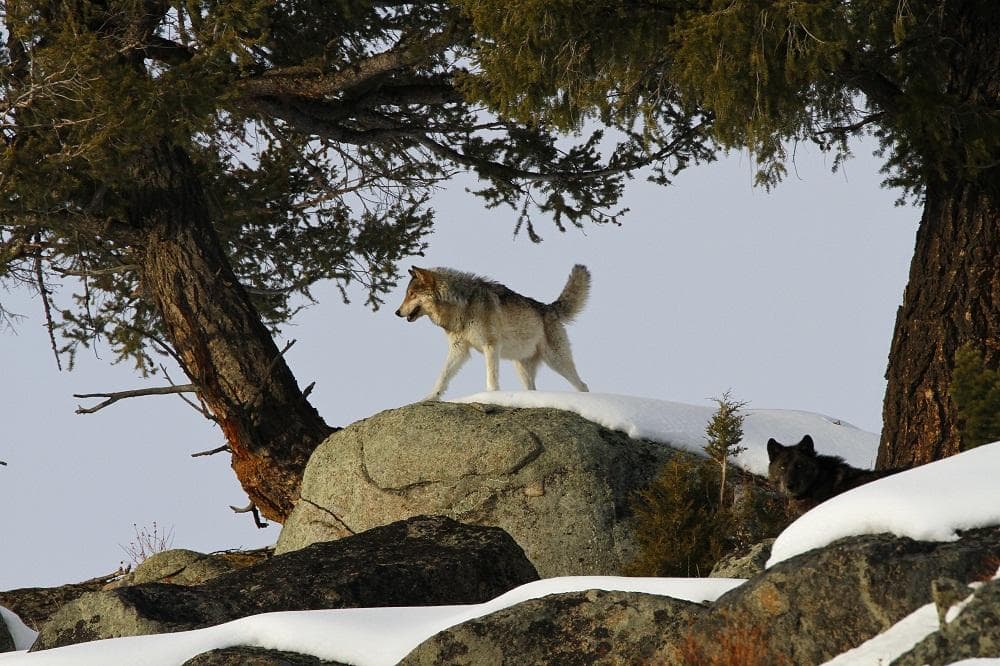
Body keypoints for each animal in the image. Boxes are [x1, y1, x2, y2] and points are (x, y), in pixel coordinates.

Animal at [394, 264, 591, 400]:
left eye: (411, 294)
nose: (397, 312)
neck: (464, 306)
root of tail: (550, 308)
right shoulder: (459, 349)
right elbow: (443, 375)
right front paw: (430, 398)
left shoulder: (491, 345)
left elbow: (491, 377)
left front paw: (491, 396)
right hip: (522, 367)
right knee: (533, 389)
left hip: (556, 360)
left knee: (583, 385)